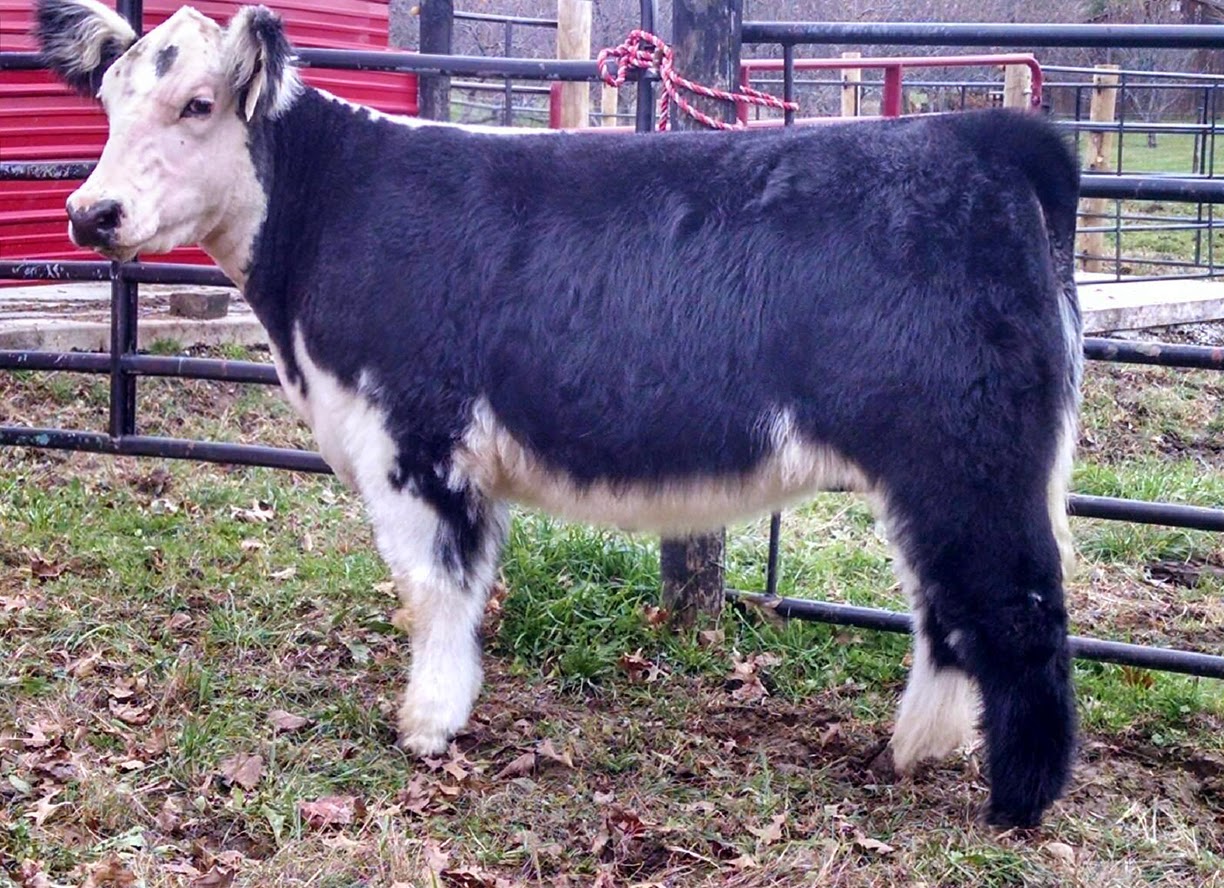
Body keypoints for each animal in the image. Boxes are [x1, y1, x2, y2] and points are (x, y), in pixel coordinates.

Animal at [35, 0, 1083, 828]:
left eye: (197, 104)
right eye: (109, 103)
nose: (92, 213)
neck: (330, 210)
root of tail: (973, 142)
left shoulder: (415, 436)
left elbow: (434, 590)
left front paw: (426, 726)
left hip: (970, 457)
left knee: (1018, 610)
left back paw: (1016, 804)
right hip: (941, 475)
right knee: (947, 611)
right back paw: (911, 753)